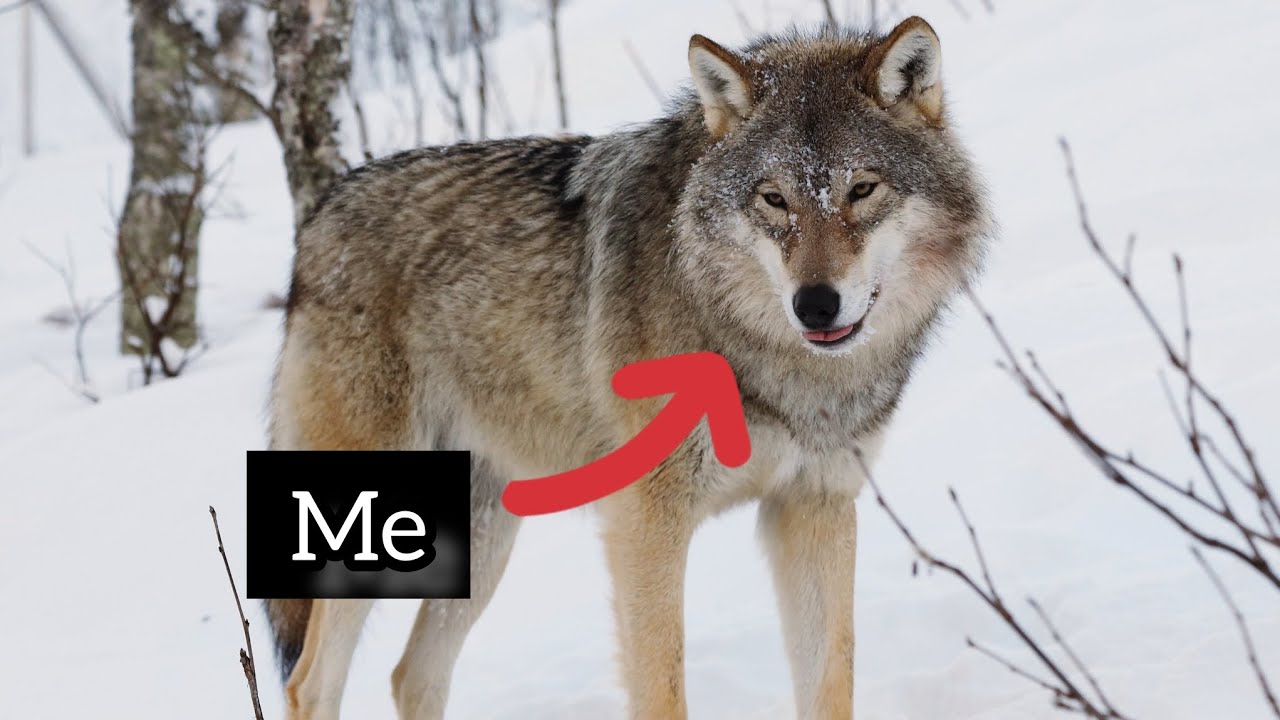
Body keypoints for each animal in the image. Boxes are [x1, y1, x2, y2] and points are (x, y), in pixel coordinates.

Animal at [267, 15, 990, 720]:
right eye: (774, 199)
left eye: (862, 189)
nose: (815, 305)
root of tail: (320, 217)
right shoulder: (646, 523)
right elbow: (662, 692)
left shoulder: (815, 506)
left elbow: (830, 687)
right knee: (311, 684)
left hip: (485, 537)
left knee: (411, 676)